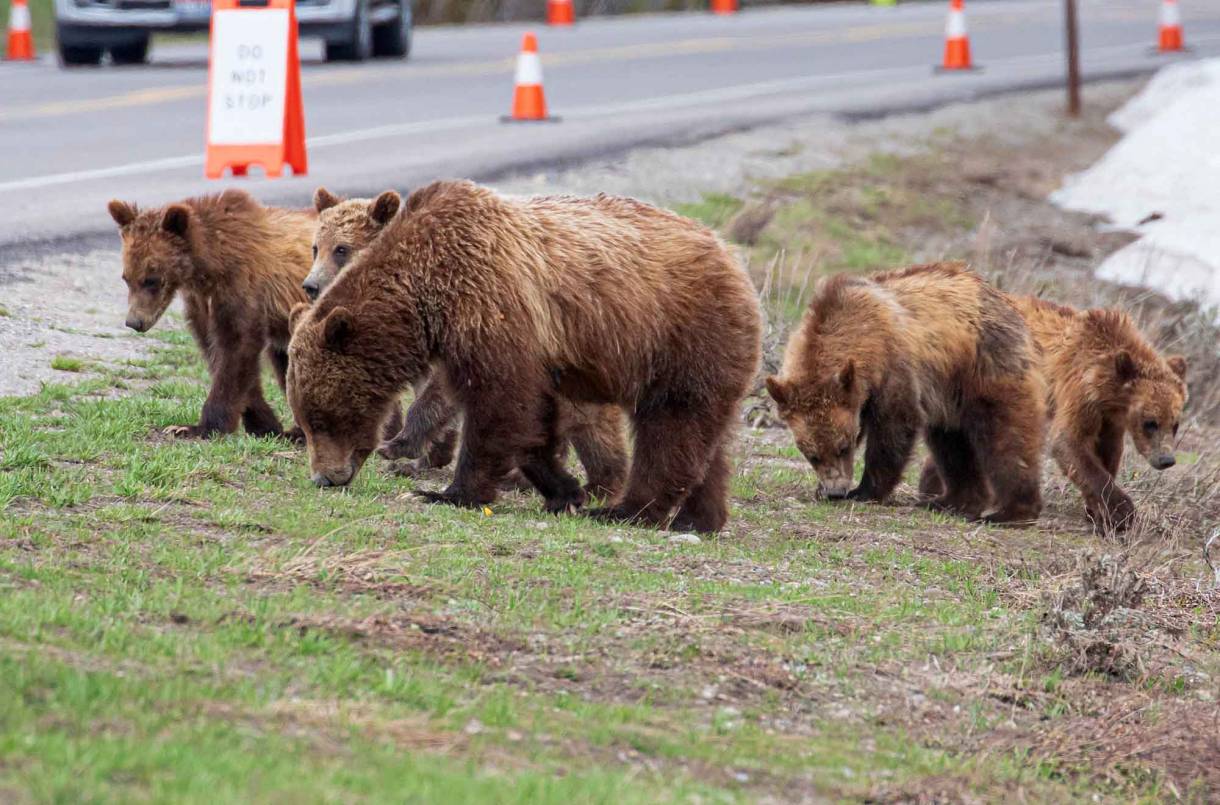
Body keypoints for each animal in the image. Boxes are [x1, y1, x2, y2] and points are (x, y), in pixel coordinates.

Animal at [107, 190, 315, 439]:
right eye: (126, 278)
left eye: (152, 279)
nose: (134, 321)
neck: (210, 265)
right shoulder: (201, 301)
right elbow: (214, 349)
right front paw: (264, 423)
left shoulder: (242, 287)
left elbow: (234, 349)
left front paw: (198, 427)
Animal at [765, 262, 1045, 525]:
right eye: (811, 454)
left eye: (843, 447)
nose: (835, 492)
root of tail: (1005, 299)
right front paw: (822, 489)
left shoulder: (894, 368)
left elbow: (894, 427)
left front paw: (864, 491)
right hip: (949, 395)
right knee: (951, 443)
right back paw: (950, 501)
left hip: (988, 365)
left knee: (1007, 436)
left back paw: (1010, 512)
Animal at [921, 296, 1188, 532]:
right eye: (1150, 422)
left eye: (1175, 424)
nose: (1166, 460)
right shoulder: (1077, 391)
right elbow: (1069, 443)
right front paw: (1121, 511)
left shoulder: (1109, 417)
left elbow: (1108, 451)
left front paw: (1098, 512)